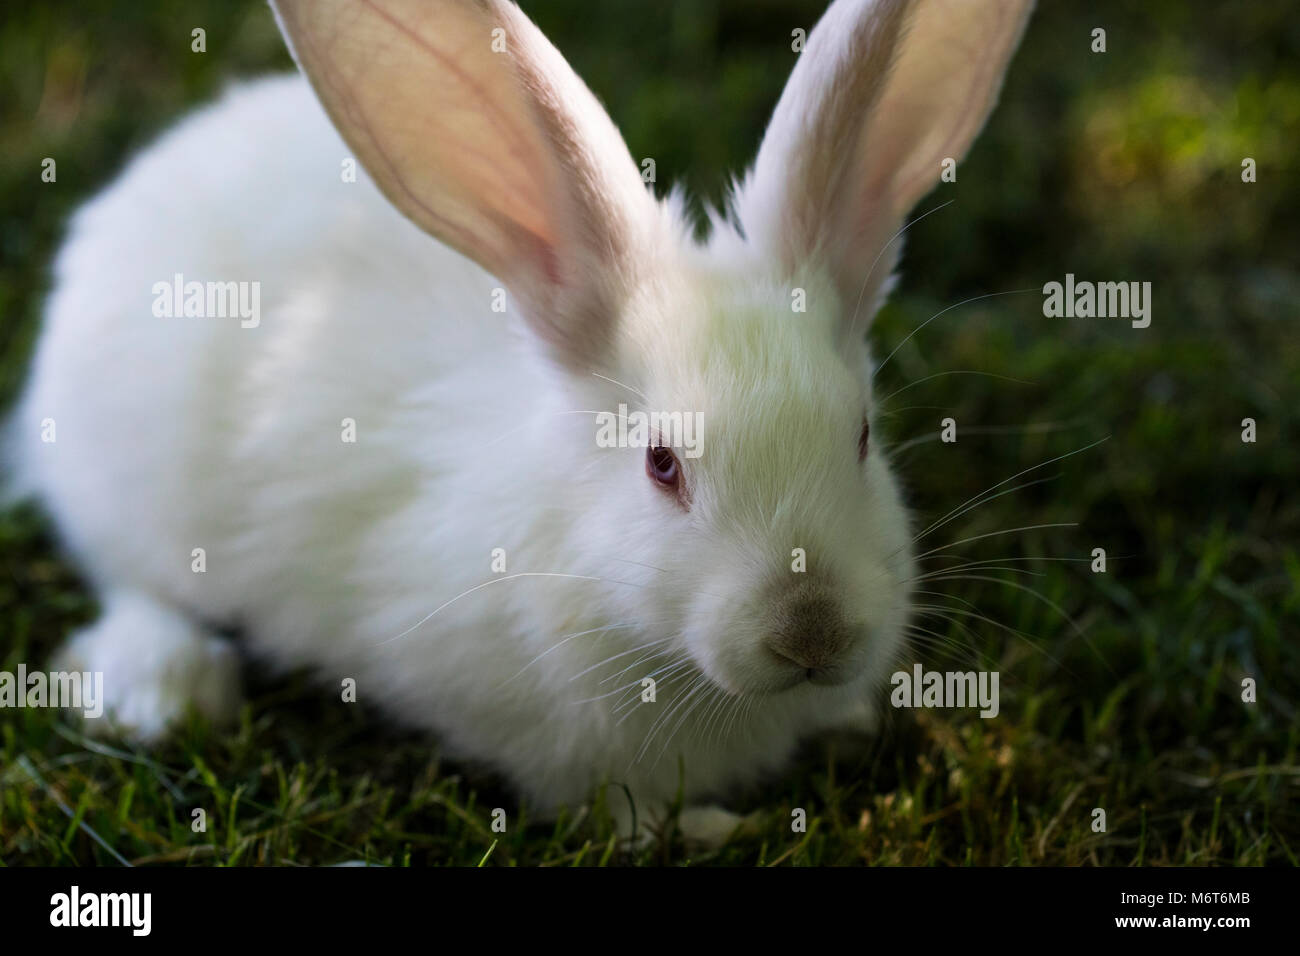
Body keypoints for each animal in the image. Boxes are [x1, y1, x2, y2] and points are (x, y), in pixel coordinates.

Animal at [8, 0, 1032, 849]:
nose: (811, 634)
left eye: (861, 437)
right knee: (134, 584)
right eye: (661, 465)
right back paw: (162, 686)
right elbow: (615, 811)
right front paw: (707, 830)